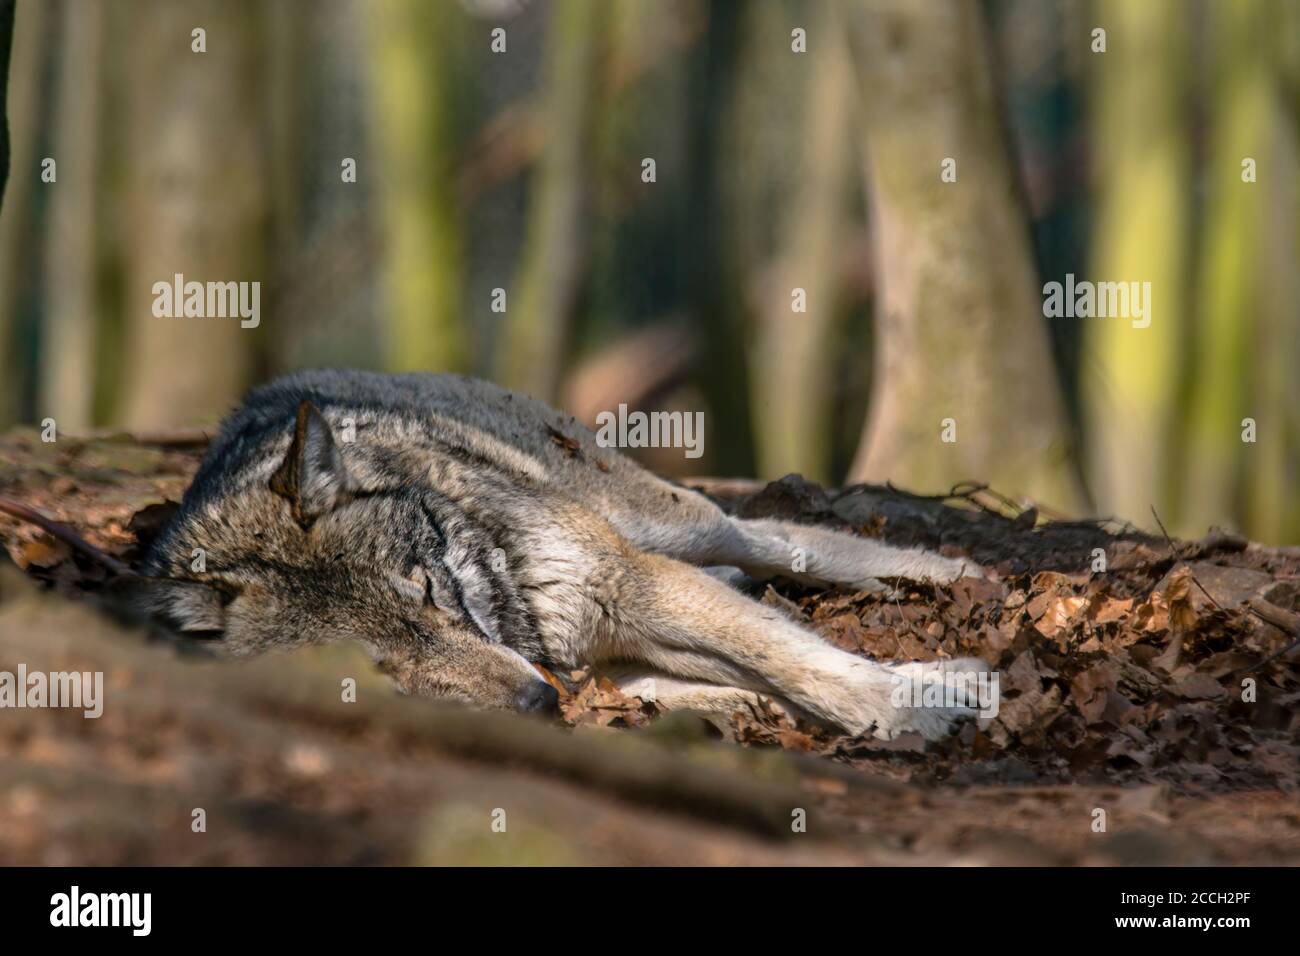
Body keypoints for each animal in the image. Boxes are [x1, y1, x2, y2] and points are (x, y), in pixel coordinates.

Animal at [128, 369, 988, 739]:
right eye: (373, 671)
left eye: (428, 591)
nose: (535, 703)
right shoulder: (593, 656)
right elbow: (763, 675)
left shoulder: (629, 585)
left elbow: (799, 661)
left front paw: (917, 701)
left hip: (663, 519)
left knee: (782, 537)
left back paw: (951, 575)